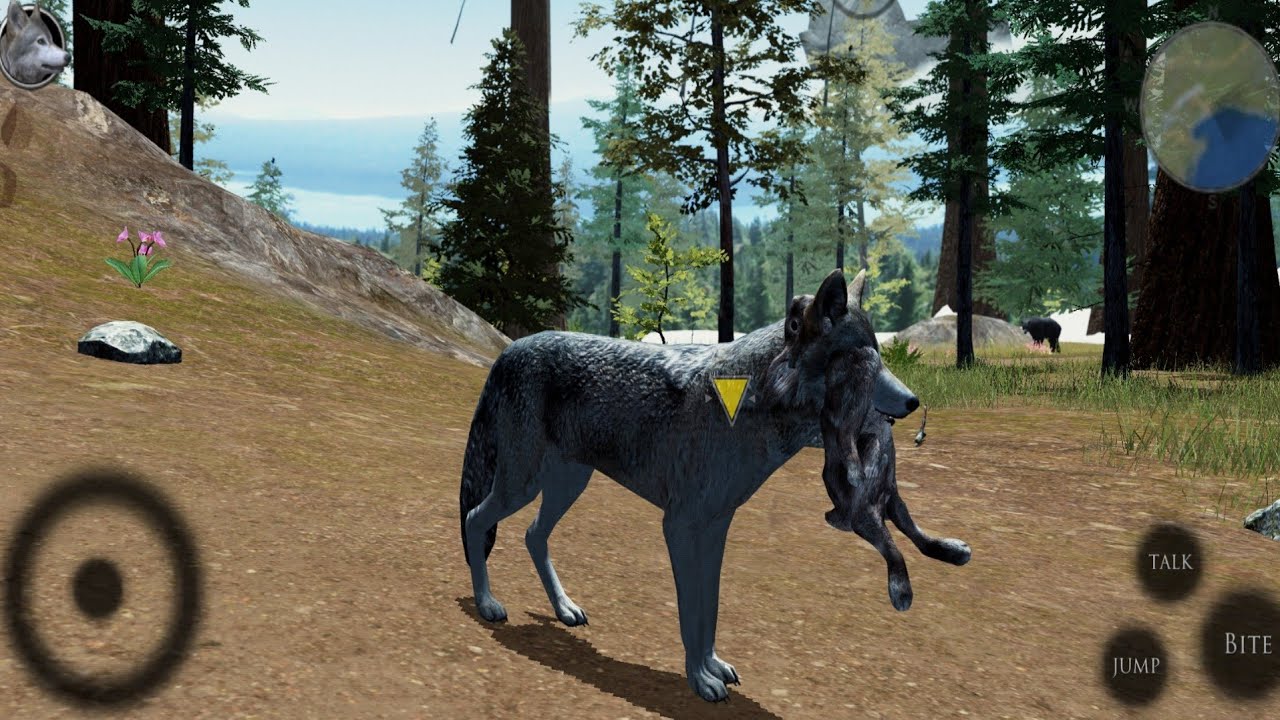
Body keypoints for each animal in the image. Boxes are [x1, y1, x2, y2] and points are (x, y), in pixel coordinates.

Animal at [459, 269, 971, 702]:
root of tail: (510, 349)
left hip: (565, 485)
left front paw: (711, 666)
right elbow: (691, 612)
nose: (913, 401)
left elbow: (711, 607)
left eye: (881, 359)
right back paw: (487, 604)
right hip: (522, 484)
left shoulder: (715, 528)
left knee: (532, 535)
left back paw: (564, 608)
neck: (752, 403)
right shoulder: (680, 527)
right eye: (862, 363)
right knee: (475, 520)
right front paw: (699, 680)